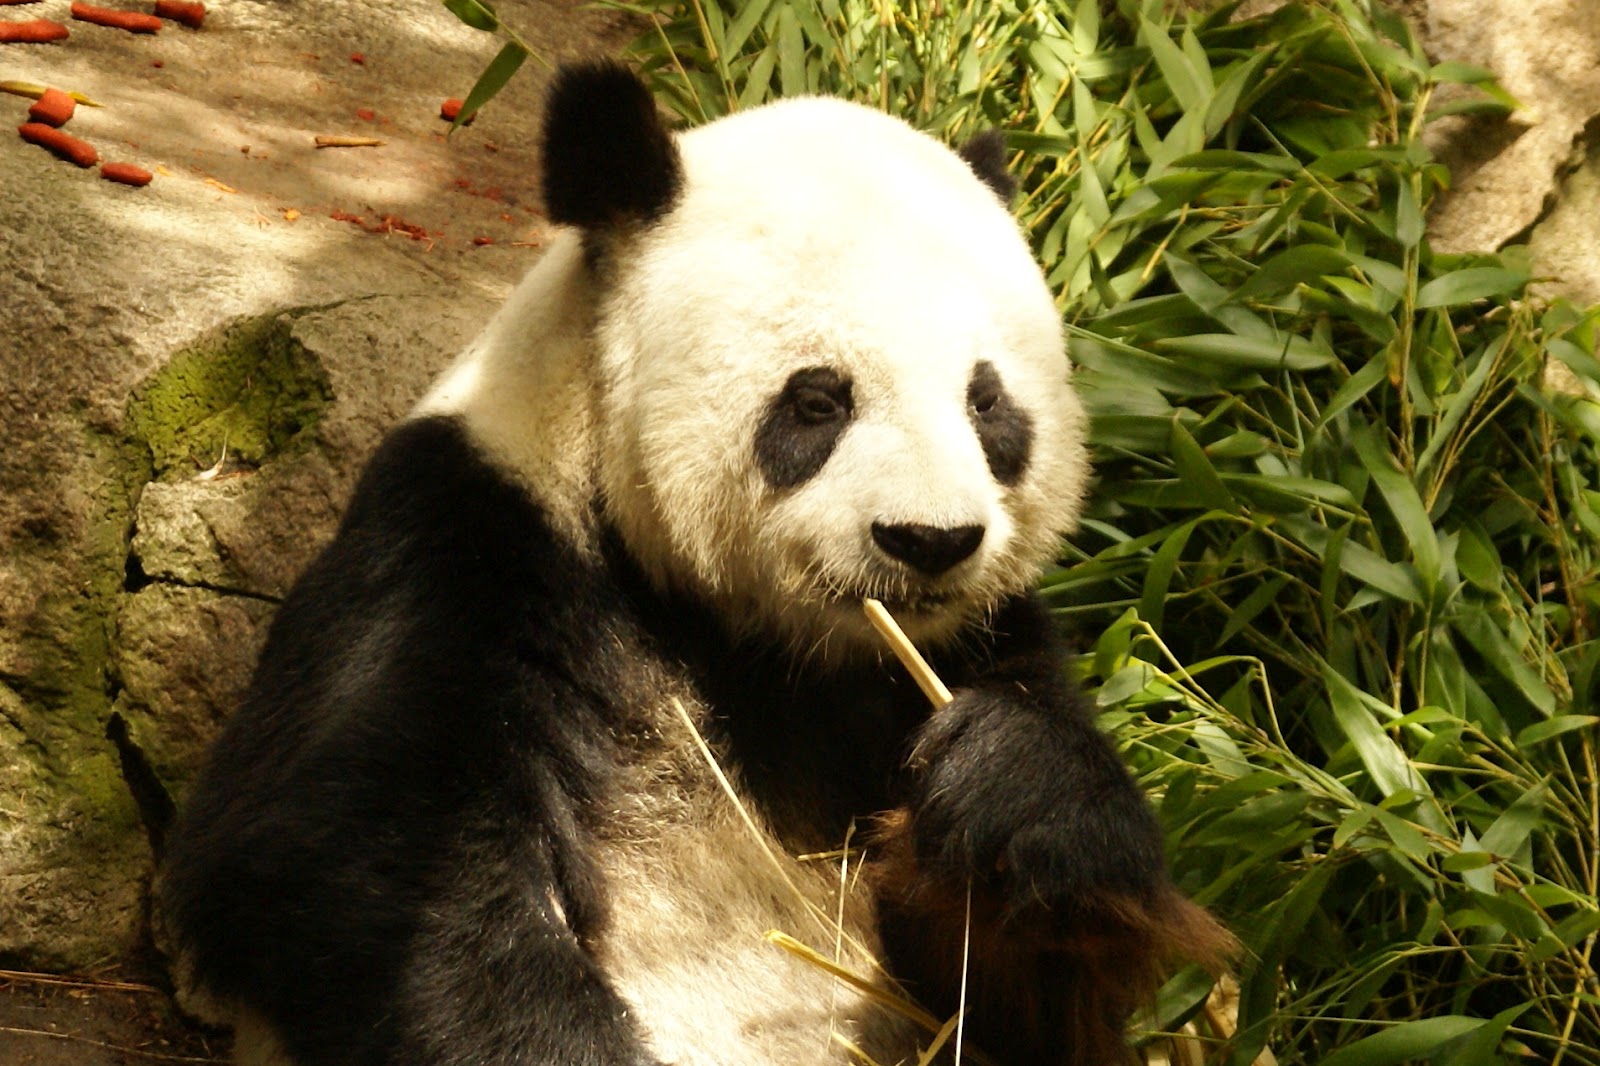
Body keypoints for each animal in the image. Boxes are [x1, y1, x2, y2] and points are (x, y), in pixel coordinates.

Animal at [160, 62, 1233, 1066]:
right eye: (819, 400)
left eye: (988, 404)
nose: (929, 541)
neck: (770, 646)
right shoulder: (473, 545)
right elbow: (360, 866)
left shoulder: (973, 644)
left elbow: (1015, 996)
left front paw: (1018, 798)